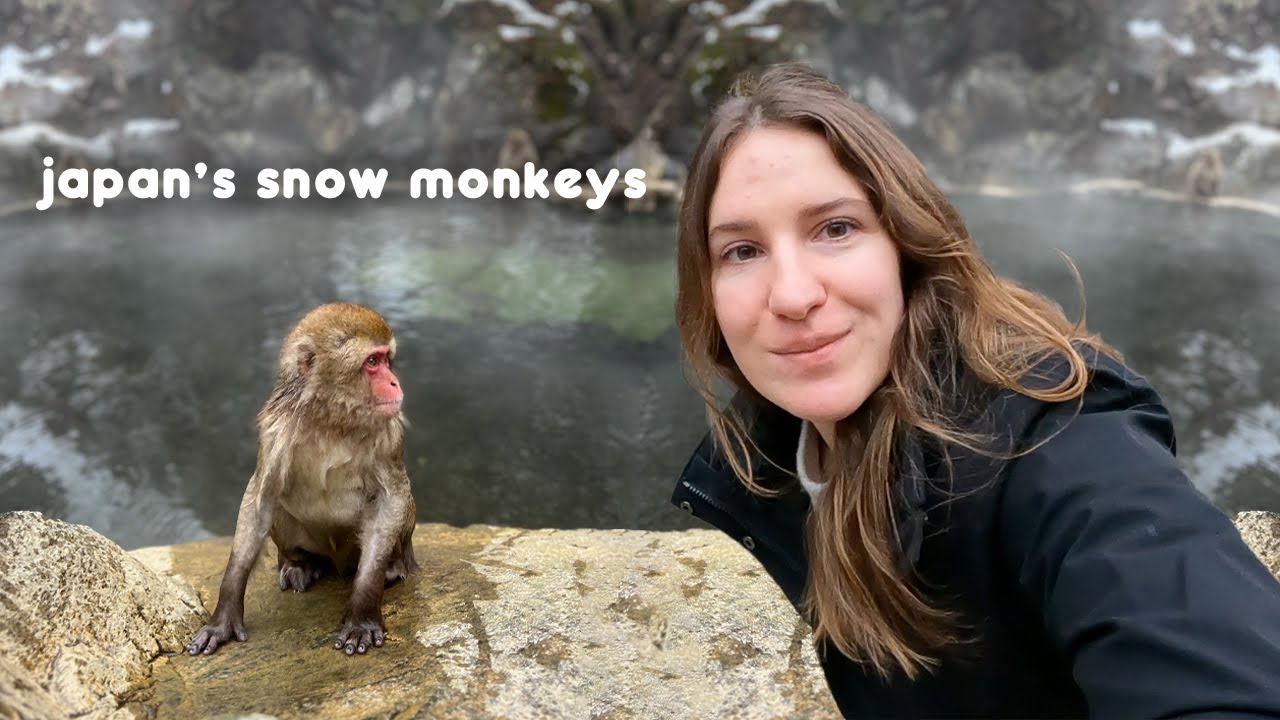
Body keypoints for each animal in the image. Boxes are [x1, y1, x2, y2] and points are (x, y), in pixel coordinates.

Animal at [185, 302, 418, 657]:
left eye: (385, 359)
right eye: (372, 362)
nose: (394, 383)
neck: (332, 418)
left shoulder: (388, 432)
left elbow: (391, 497)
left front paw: (362, 614)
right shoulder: (274, 430)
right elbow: (261, 497)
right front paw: (223, 617)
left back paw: (394, 565)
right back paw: (302, 564)